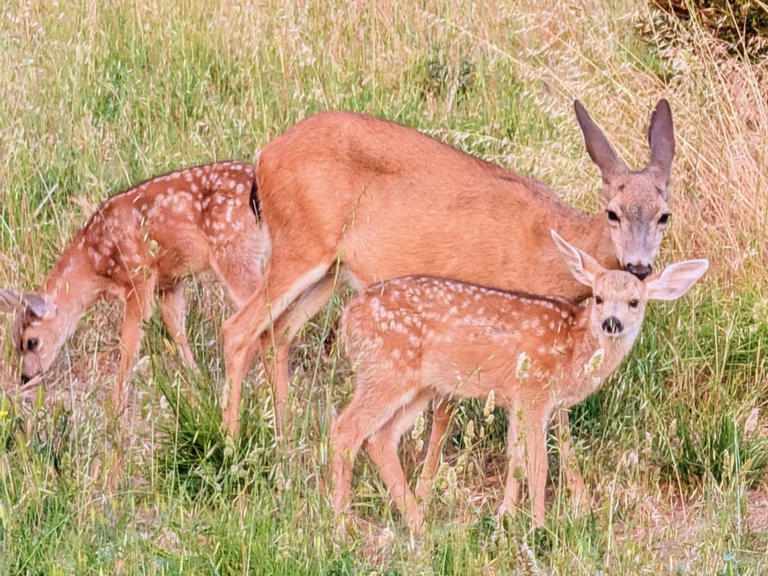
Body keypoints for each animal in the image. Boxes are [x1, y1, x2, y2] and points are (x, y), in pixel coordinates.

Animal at [219, 99, 676, 505]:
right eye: (613, 212)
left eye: (664, 215)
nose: (638, 265)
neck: (549, 248)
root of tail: (265, 157)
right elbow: (449, 410)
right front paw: (427, 490)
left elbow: (555, 415)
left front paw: (578, 500)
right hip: (299, 245)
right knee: (239, 328)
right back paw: (231, 441)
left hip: (329, 270)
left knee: (277, 333)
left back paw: (284, 442)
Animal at [331, 231, 708, 532]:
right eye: (598, 297)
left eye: (635, 302)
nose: (611, 323)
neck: (573, 347)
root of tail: (348, 318)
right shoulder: (534, 394)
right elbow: (537, 465)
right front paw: (538, 527)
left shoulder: (516, 401)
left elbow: (514, 459)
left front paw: (506, 517)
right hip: (386, 370)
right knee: (346, 430)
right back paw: (343, 525)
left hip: (417, 385)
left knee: (380, 440)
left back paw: (418, 523)